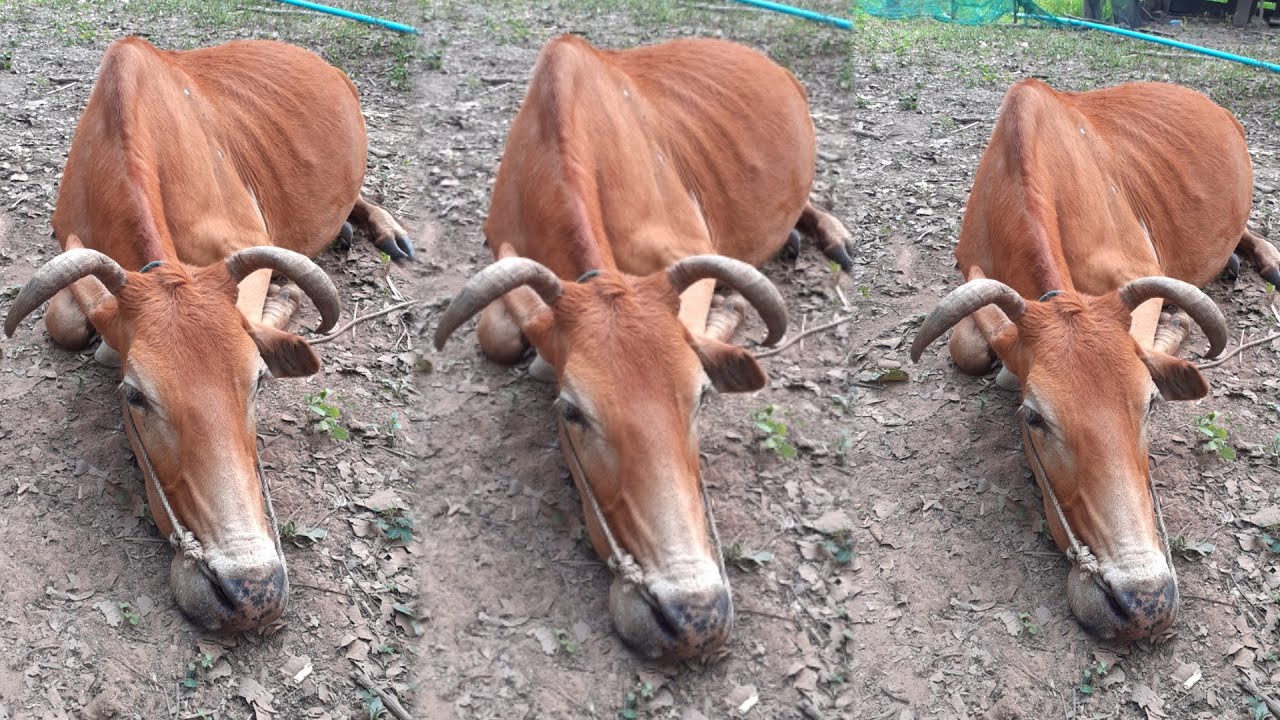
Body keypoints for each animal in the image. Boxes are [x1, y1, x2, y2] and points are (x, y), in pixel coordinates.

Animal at [3, 37, 413, 632]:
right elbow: (69, 323)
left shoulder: (246, 239)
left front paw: (284, 302)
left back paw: (384, 229)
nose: (251, 590)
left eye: (259, 381)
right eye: (135, 396)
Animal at [432, 35, 852, 660]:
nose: (694, 615)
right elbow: (501, 336)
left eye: (701, 397)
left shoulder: (690, 247)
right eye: (572, 412)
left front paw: (728, 317)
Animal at [910, 78, 1279, 640]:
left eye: (1150, 405)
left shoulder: (1138, 270)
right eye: (1033, 418)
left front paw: (1173, 332)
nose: (1144, 601)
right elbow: (969, 349)